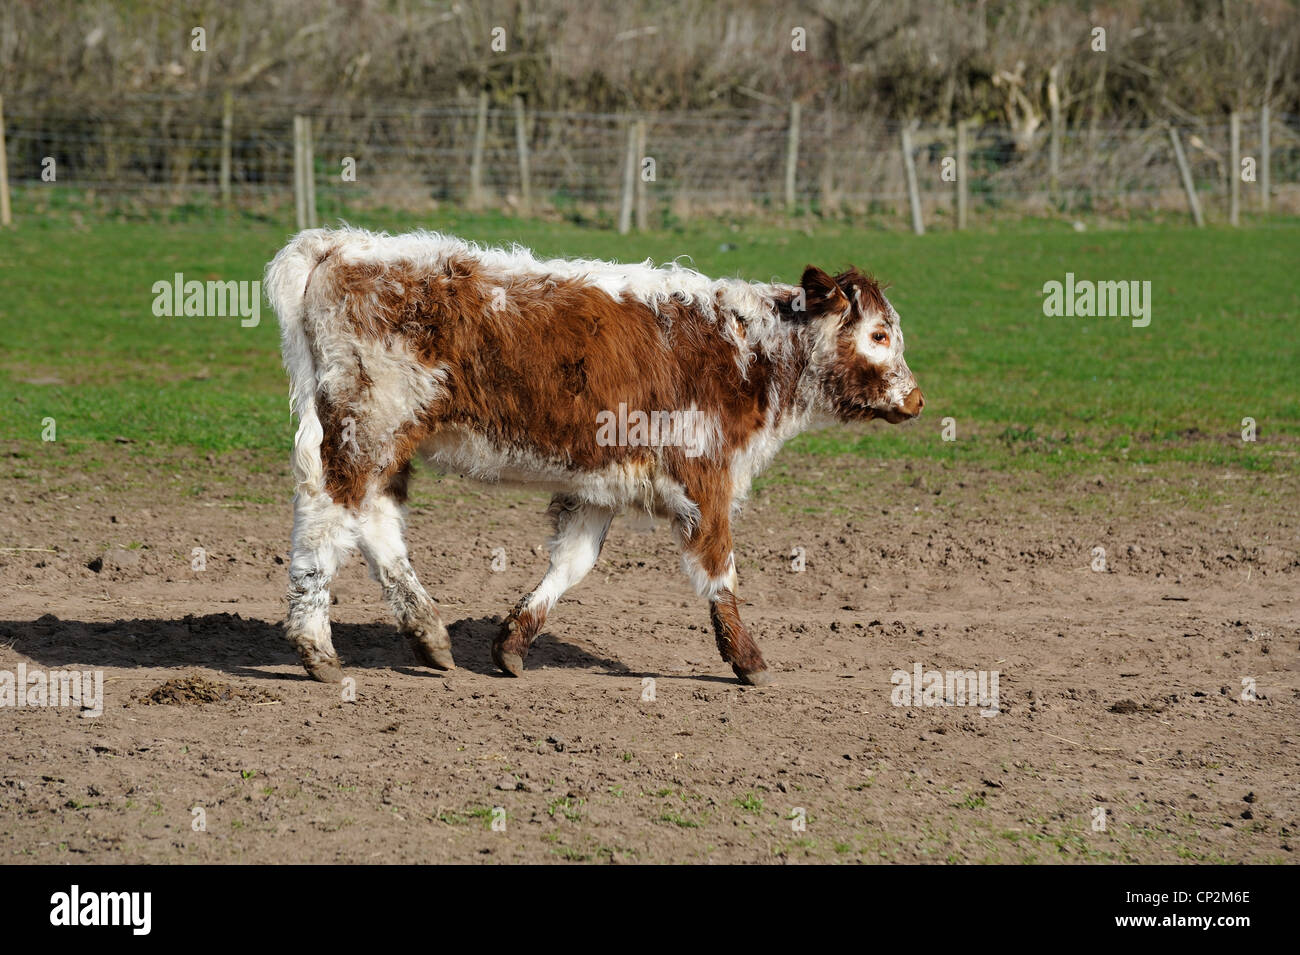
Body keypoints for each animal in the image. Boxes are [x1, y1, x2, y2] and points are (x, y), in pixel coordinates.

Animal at [264, 228, 923, 686]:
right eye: (879, 335)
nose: (917, 400)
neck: (747, 351)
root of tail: (341, 244)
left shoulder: (602, 484)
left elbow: (572, 563)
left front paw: (511, 645)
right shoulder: (705, 478)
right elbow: (719, 572)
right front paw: (748, 659)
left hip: (383, 440)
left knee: (375, 522)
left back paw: (429, 636)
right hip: (366, 430)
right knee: (327, 516)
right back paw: (317, 647)